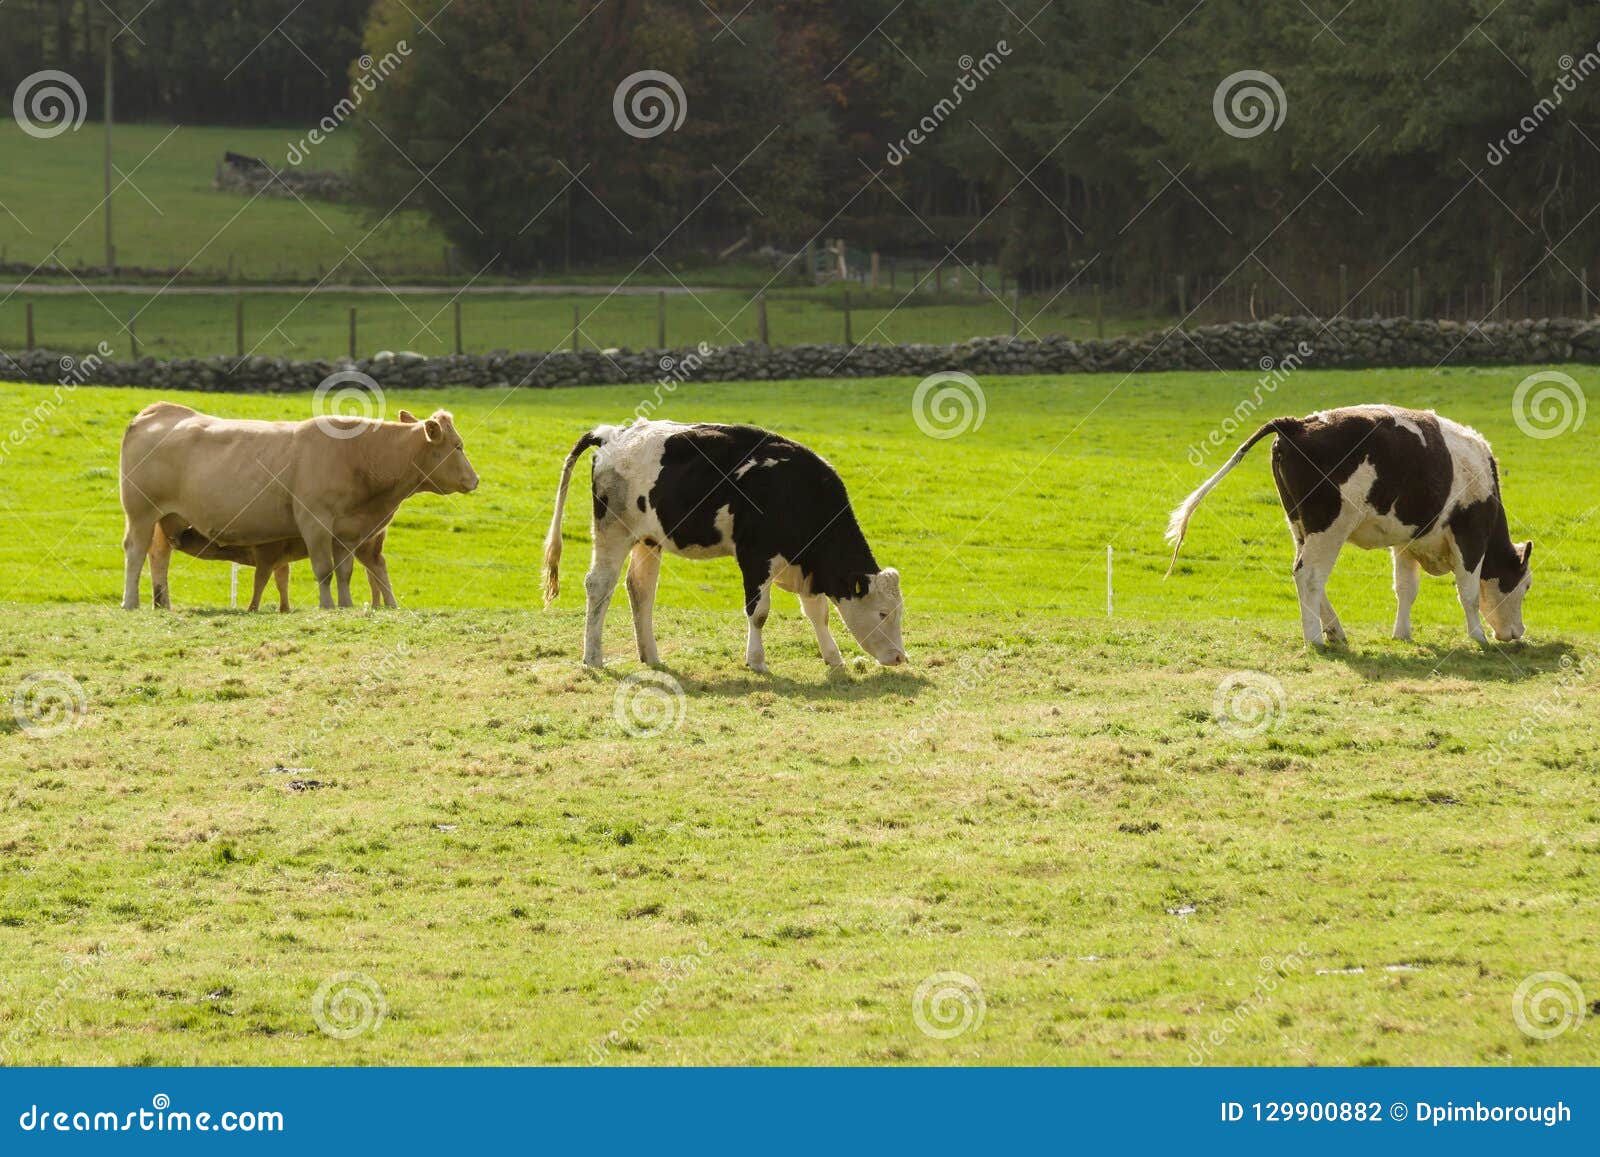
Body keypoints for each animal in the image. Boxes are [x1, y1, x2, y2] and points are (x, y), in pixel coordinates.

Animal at [120, 404, 476, 610]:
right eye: (458, 446)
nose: (475, 479)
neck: (358, 454)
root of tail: (155, 412)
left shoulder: (349, 530)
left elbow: (345, 571)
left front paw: (346, 605)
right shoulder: (314, 520)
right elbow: (324, 569)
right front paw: (327, 606)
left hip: (169, 518)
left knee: (159, 556)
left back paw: (162, 604)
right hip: (141, 513)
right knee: (136, 551)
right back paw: (130, 602)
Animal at [541, 419, 906, 672]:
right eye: (883, 612)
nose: (901, 657)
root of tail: (613, 434)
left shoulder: (805, 564)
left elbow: (819, 613)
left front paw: (833, 657)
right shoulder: (755, 557)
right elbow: (759, 612)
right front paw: (757, 661)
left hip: (648, 539)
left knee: (640, 590)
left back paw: (651, 656)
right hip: (613, 530)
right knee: (599, 585)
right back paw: (593, 657)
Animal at [1165, 405, 1532, 646]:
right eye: (1525, 586)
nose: (1518, 633)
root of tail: (1295, 425)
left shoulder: (1406, 542)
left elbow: (1405, 589)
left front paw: (1402, 634)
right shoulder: (1470, 536)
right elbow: (1468, 592)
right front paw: (1479, 637)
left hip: (1300, 525)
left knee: (1305, 573)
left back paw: (1333, 630)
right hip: (1329, 526)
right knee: (1309, 575)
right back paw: (1314, 638)